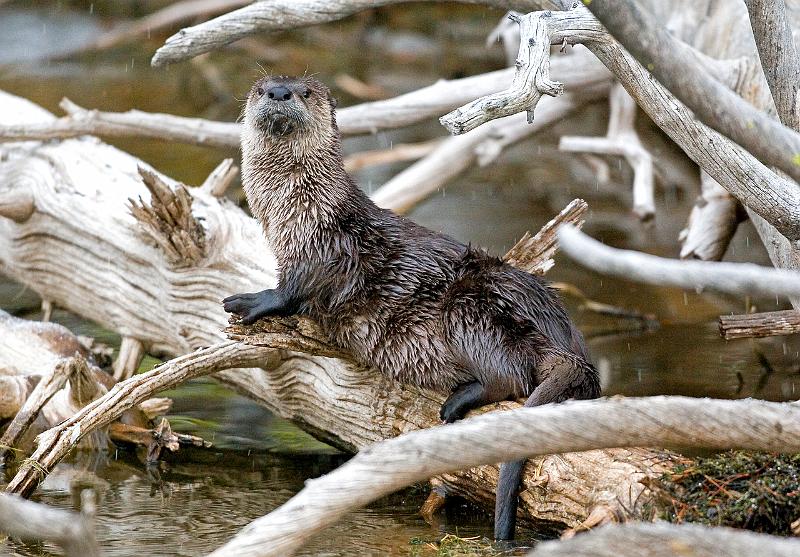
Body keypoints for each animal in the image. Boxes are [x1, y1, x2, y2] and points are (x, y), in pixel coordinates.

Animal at [223, 75, 601, 540]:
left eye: (305, 93)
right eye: (262, 89)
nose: (279, 92)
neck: (297, 207)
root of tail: (567, 340)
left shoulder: (326, 246)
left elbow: (295, 287)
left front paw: (252, 300)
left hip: (470, 308)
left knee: (511, 377)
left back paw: (457, 402)